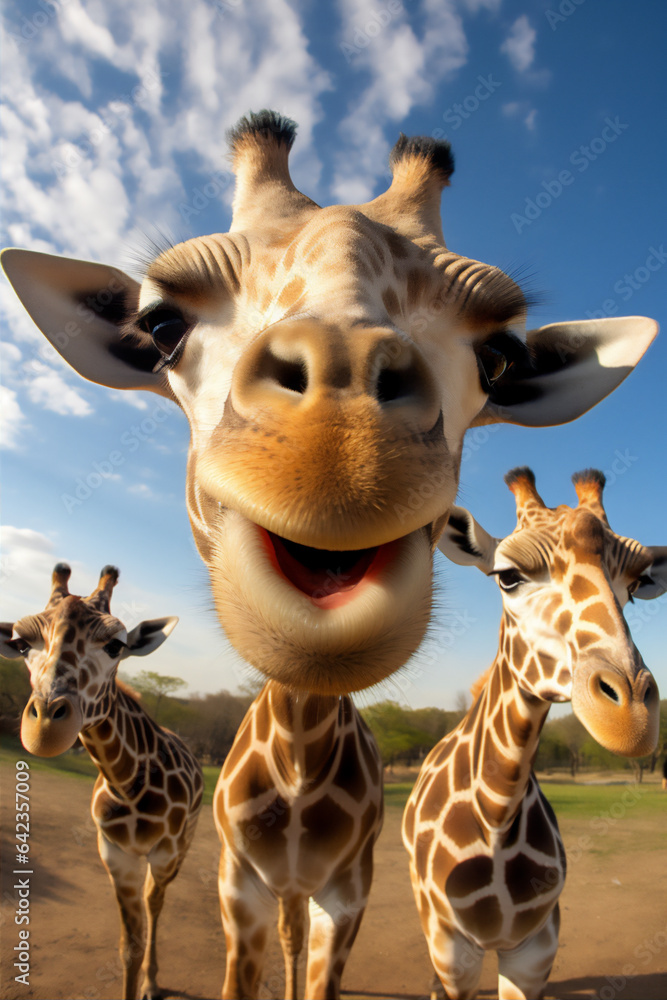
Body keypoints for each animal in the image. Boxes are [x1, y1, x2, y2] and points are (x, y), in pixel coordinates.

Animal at [0, 563, 204, 1000]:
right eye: (22, 645)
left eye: (115, 646)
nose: (44, 731)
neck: (125, 781)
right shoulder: (115, 855)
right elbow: (129, 946)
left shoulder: (163, 853)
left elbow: (148, 918)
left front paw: (148, 982)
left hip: (182, 847)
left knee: (156, 903)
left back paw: (153, 981)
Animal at [403, 468, 664, 1000]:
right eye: (508, 576)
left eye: (636, 583)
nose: (630, 722)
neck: (496, 811)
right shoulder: (455, 952)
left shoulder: (535, 950)